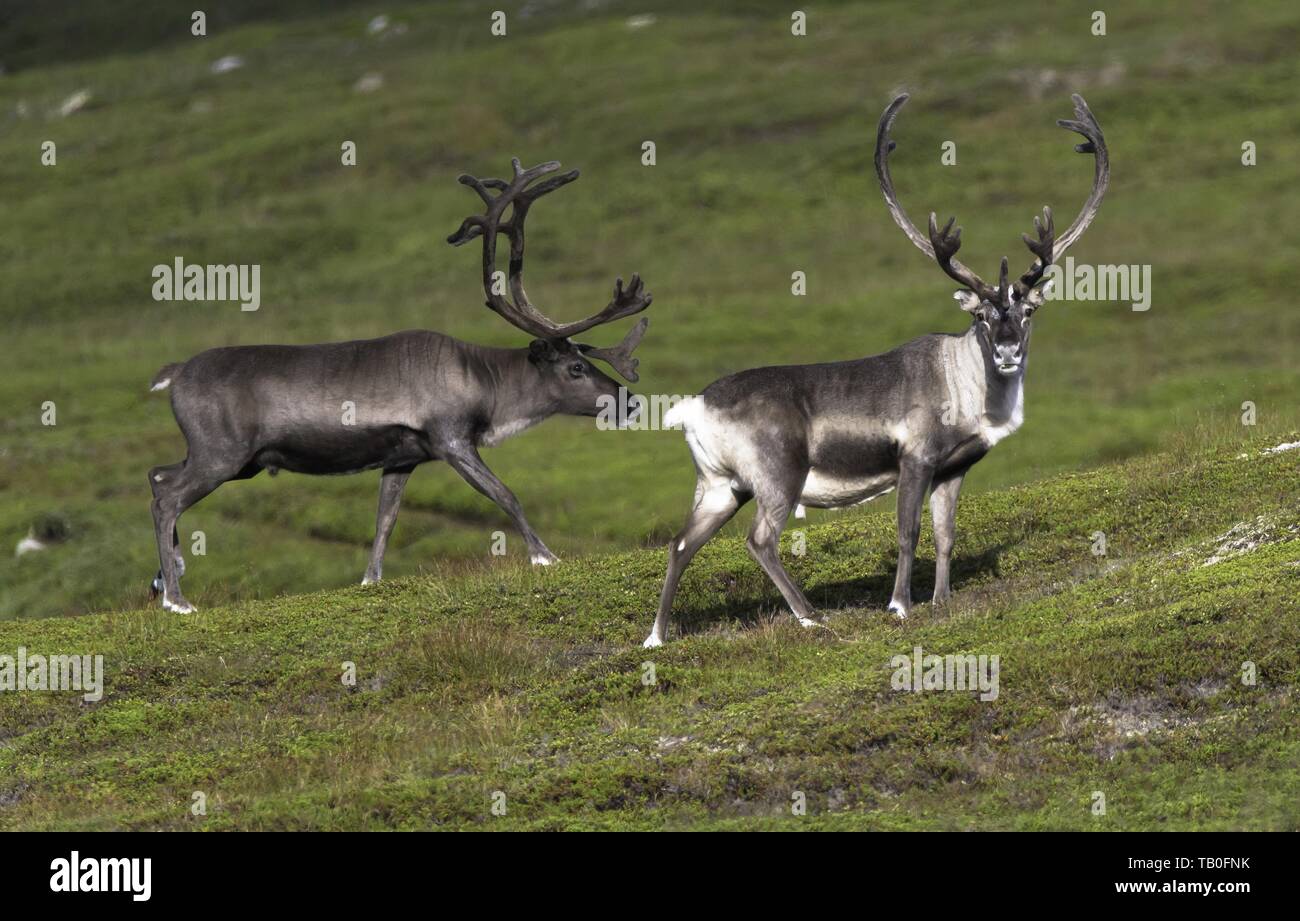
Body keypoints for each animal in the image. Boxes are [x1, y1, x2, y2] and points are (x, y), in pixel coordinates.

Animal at [147, 158, 651, 614]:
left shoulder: (401, 457)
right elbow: (505, 493)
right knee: (168, 497)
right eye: (575, 368)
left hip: (237, 459)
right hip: (223, 452)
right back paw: (178, 599)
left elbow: (385, 521)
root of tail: (173, 371)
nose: (630, 403)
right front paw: (545, 557)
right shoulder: (451, 439)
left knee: (158, 476)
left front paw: (370, 580)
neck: (485, 381)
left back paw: (165, 577)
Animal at [642, 94, 1108, 647]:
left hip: (719, 485)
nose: (1008, 350)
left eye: (1028, 310)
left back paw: (657, 637)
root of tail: (694, 407)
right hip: (777, 474)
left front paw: (942, 600)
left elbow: (946, 535)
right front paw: (900, 605)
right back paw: (810, 615)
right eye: (980, 315)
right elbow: (908, 533)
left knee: (679, 543)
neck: (968, 392)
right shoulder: (915, 458)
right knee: (759, 539)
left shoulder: (954, 467)